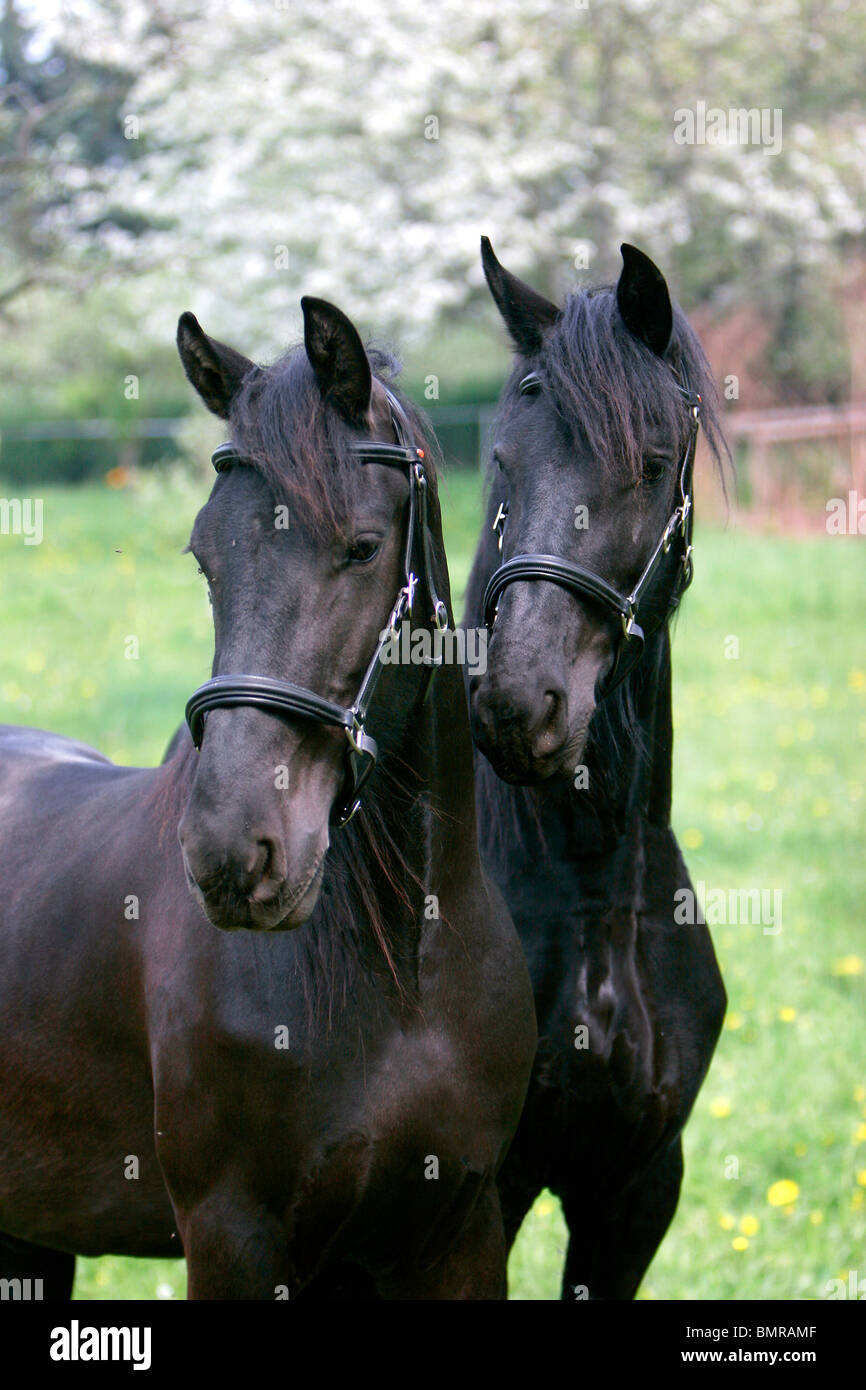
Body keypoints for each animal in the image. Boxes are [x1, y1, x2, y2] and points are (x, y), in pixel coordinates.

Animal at [0, 295, 536, 1299]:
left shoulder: (462, 1231)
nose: (231, 850)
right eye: (203, 558)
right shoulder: (233, 1236)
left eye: (363, 549)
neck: (402, 977)